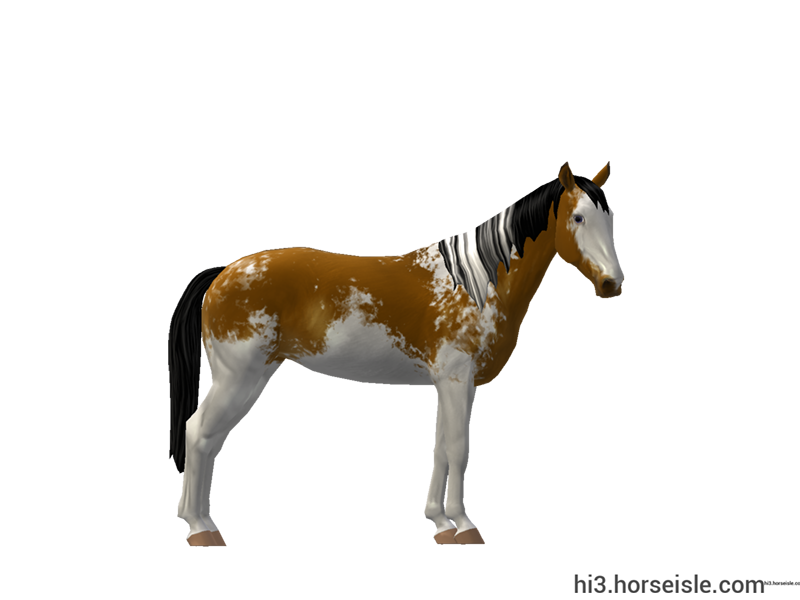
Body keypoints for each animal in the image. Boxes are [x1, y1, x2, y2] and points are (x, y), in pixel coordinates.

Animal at [170, 164, 623, 540]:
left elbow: (441, 447)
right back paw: (196, 526)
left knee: (202, 437)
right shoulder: (456, 376)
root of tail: (223, 273)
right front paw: (463, 523)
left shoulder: (448, 381)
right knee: (196, 432)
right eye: (578, 217)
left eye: (608, 216)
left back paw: (200, 520)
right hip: (234, 378)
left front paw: (438, 520)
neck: (473, 283)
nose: (612, 283)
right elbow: (458, 447)